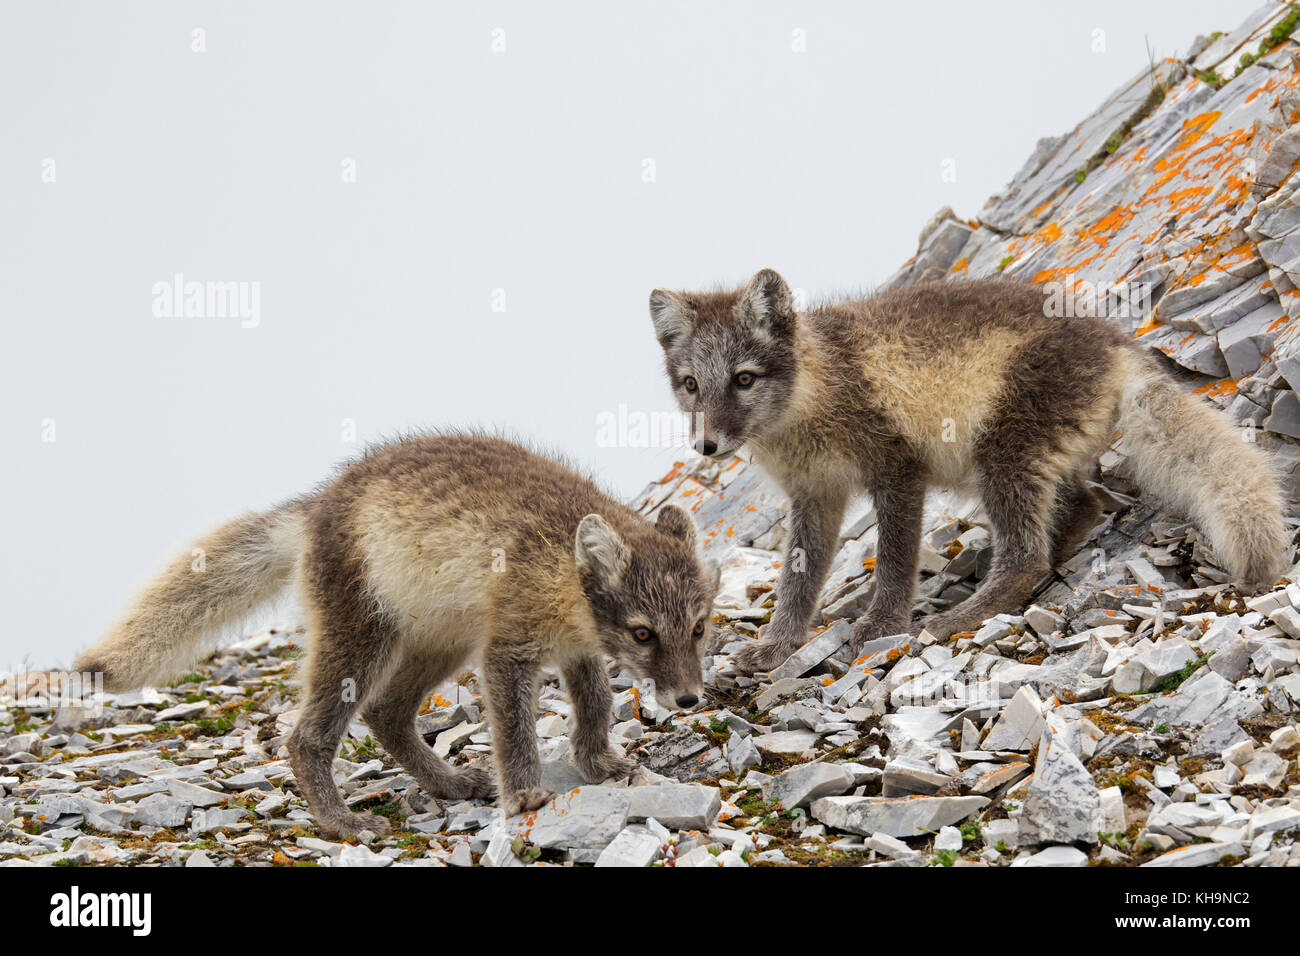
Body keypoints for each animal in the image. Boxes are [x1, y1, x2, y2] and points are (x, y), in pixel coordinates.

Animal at [74, 433, 719, 837]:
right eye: (643, 634)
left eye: (698, 627)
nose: (688, 699)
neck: (561, 566)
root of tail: (317, 505)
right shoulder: (506, 651)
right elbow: (516, 731)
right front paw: (524, 796)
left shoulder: (577, 650)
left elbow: (596, 707)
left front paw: (599, 764)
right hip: (364, 637)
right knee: (305, 738)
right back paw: (342, 823)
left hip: (441, 639)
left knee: (385, 713)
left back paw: (449, 782)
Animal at [649, 269, 1290, 674]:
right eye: (691, 385)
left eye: (744, 378)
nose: (706, 445)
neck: (812, 394)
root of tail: (1115, 342)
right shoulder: (815, 497)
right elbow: (797, 581)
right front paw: (778, 646)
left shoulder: (897, 469)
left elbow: (895, 560)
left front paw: (882, 624)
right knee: (1079, 508)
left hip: (1000, 453)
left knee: (1025, 556)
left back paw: (957, 617)